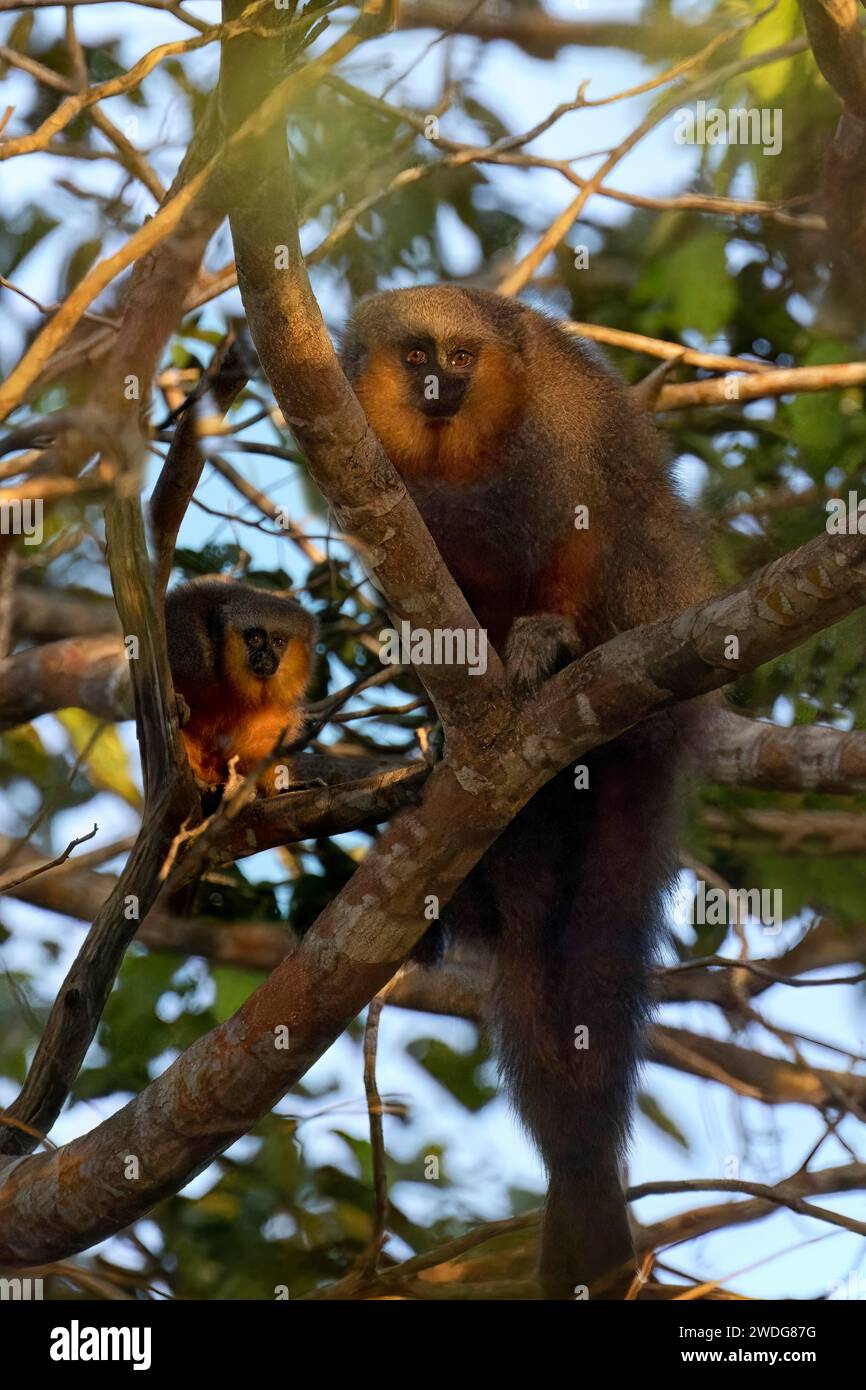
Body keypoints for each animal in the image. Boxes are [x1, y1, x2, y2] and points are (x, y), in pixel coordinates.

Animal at [165, 578, 317, 796]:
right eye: (255, 639)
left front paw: (282, 788)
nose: (264, 657)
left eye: (278, 642)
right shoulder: (188, 648)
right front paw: (177, 702)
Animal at [340, 285, 712, 1300]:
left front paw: (547, 634)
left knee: (633, 534)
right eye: (416, 354)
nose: (439, 383)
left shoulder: (566, 429)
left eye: (462, 357)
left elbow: (592, 520)